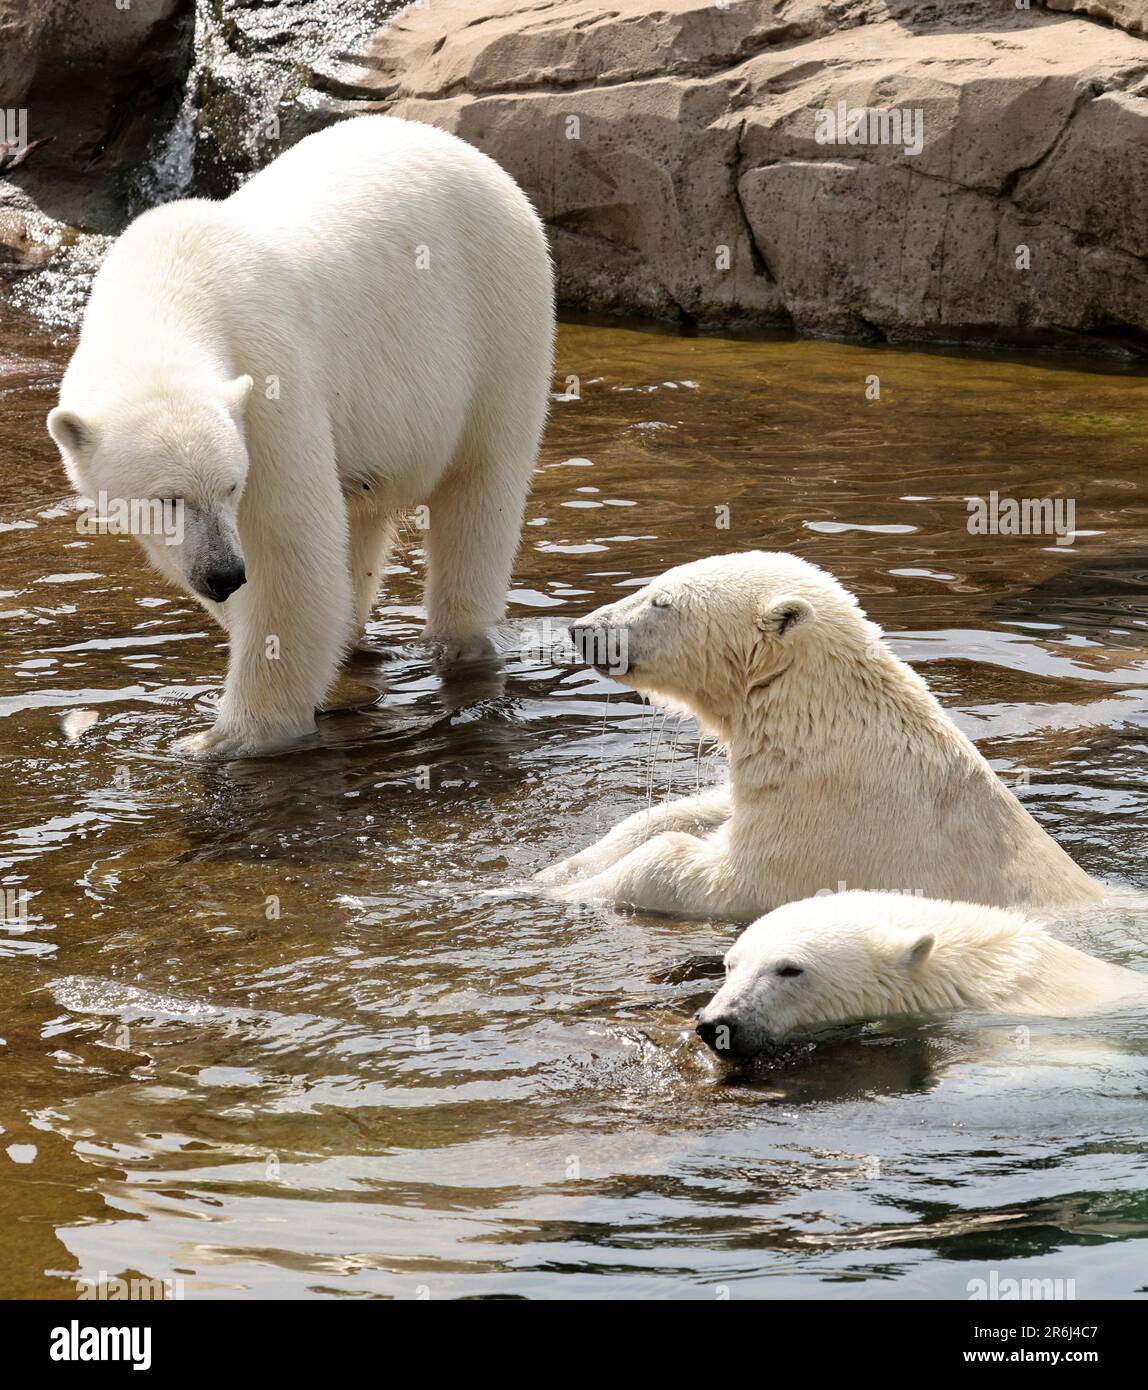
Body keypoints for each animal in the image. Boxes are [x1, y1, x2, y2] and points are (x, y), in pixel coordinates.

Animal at [47, 115, 555, 757]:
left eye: (231, 486)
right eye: (167, 499)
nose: (224, 575)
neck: (171, 284)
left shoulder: (270, 375)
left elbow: (291, 550)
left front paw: (226, 739)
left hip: (497, 315)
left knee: (479, 489)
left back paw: (460, 644)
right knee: (361, 517)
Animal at [535, 551, 1102, 918]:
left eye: (663, 602)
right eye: (654, 583)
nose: (583, 630)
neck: (824, 724)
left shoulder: (832, 830)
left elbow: (702, 871)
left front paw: (537, 889)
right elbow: (680, 815)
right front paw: (558, 869)